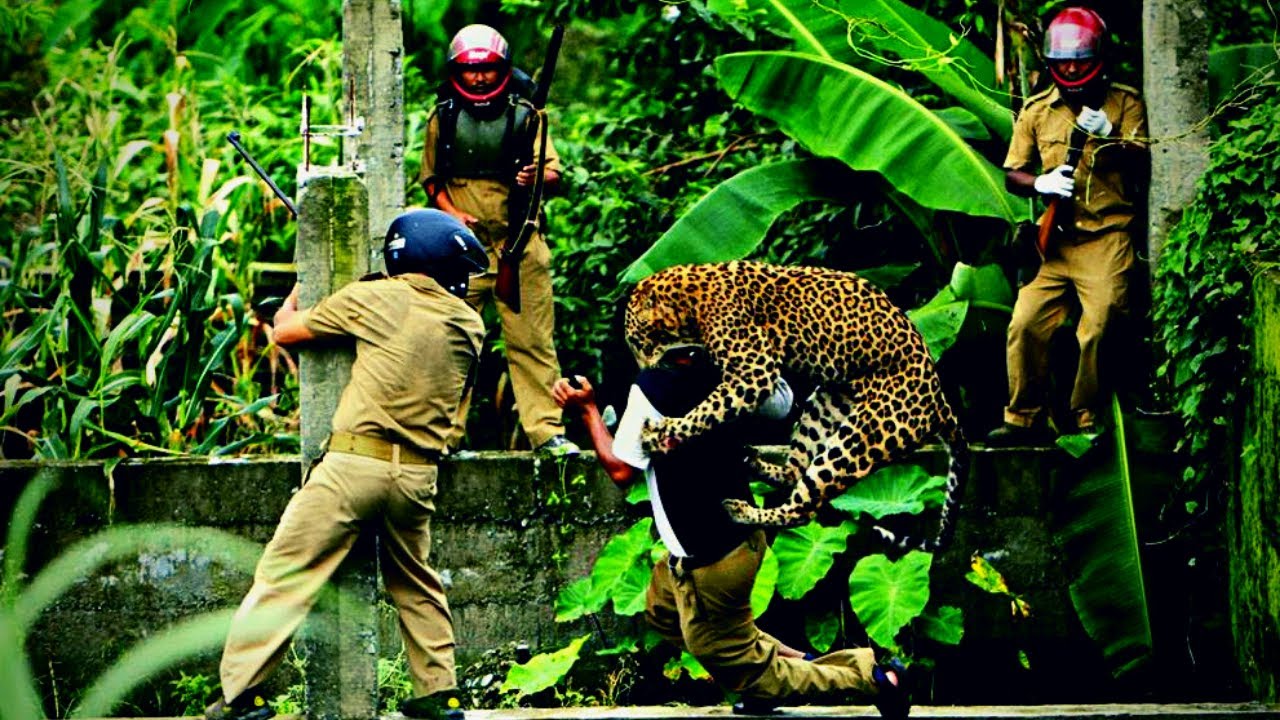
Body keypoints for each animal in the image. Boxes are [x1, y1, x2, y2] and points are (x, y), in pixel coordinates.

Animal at [624, 261, 968, 551]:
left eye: (636, 342)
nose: (642, 370)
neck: (689, 304)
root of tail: (941, 402)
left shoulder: (754, 373)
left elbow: (706, 411)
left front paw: (660, 433)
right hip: (825, 405)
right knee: (795, 471)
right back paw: (754, 462)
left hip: (857, 440)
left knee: (804, 510)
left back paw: (741, 511)